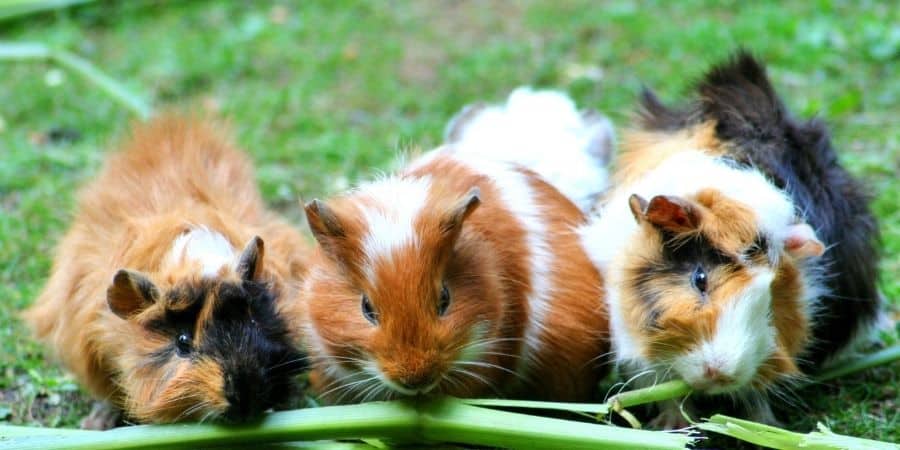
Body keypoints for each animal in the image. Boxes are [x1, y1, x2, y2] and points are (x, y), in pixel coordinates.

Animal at [578, 51, 881, 426]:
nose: (720, 373)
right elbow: (664, 390)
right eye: (700, 278)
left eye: (773, 294)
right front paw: (675, 426)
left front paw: (762, 425)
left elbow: (757, 392)